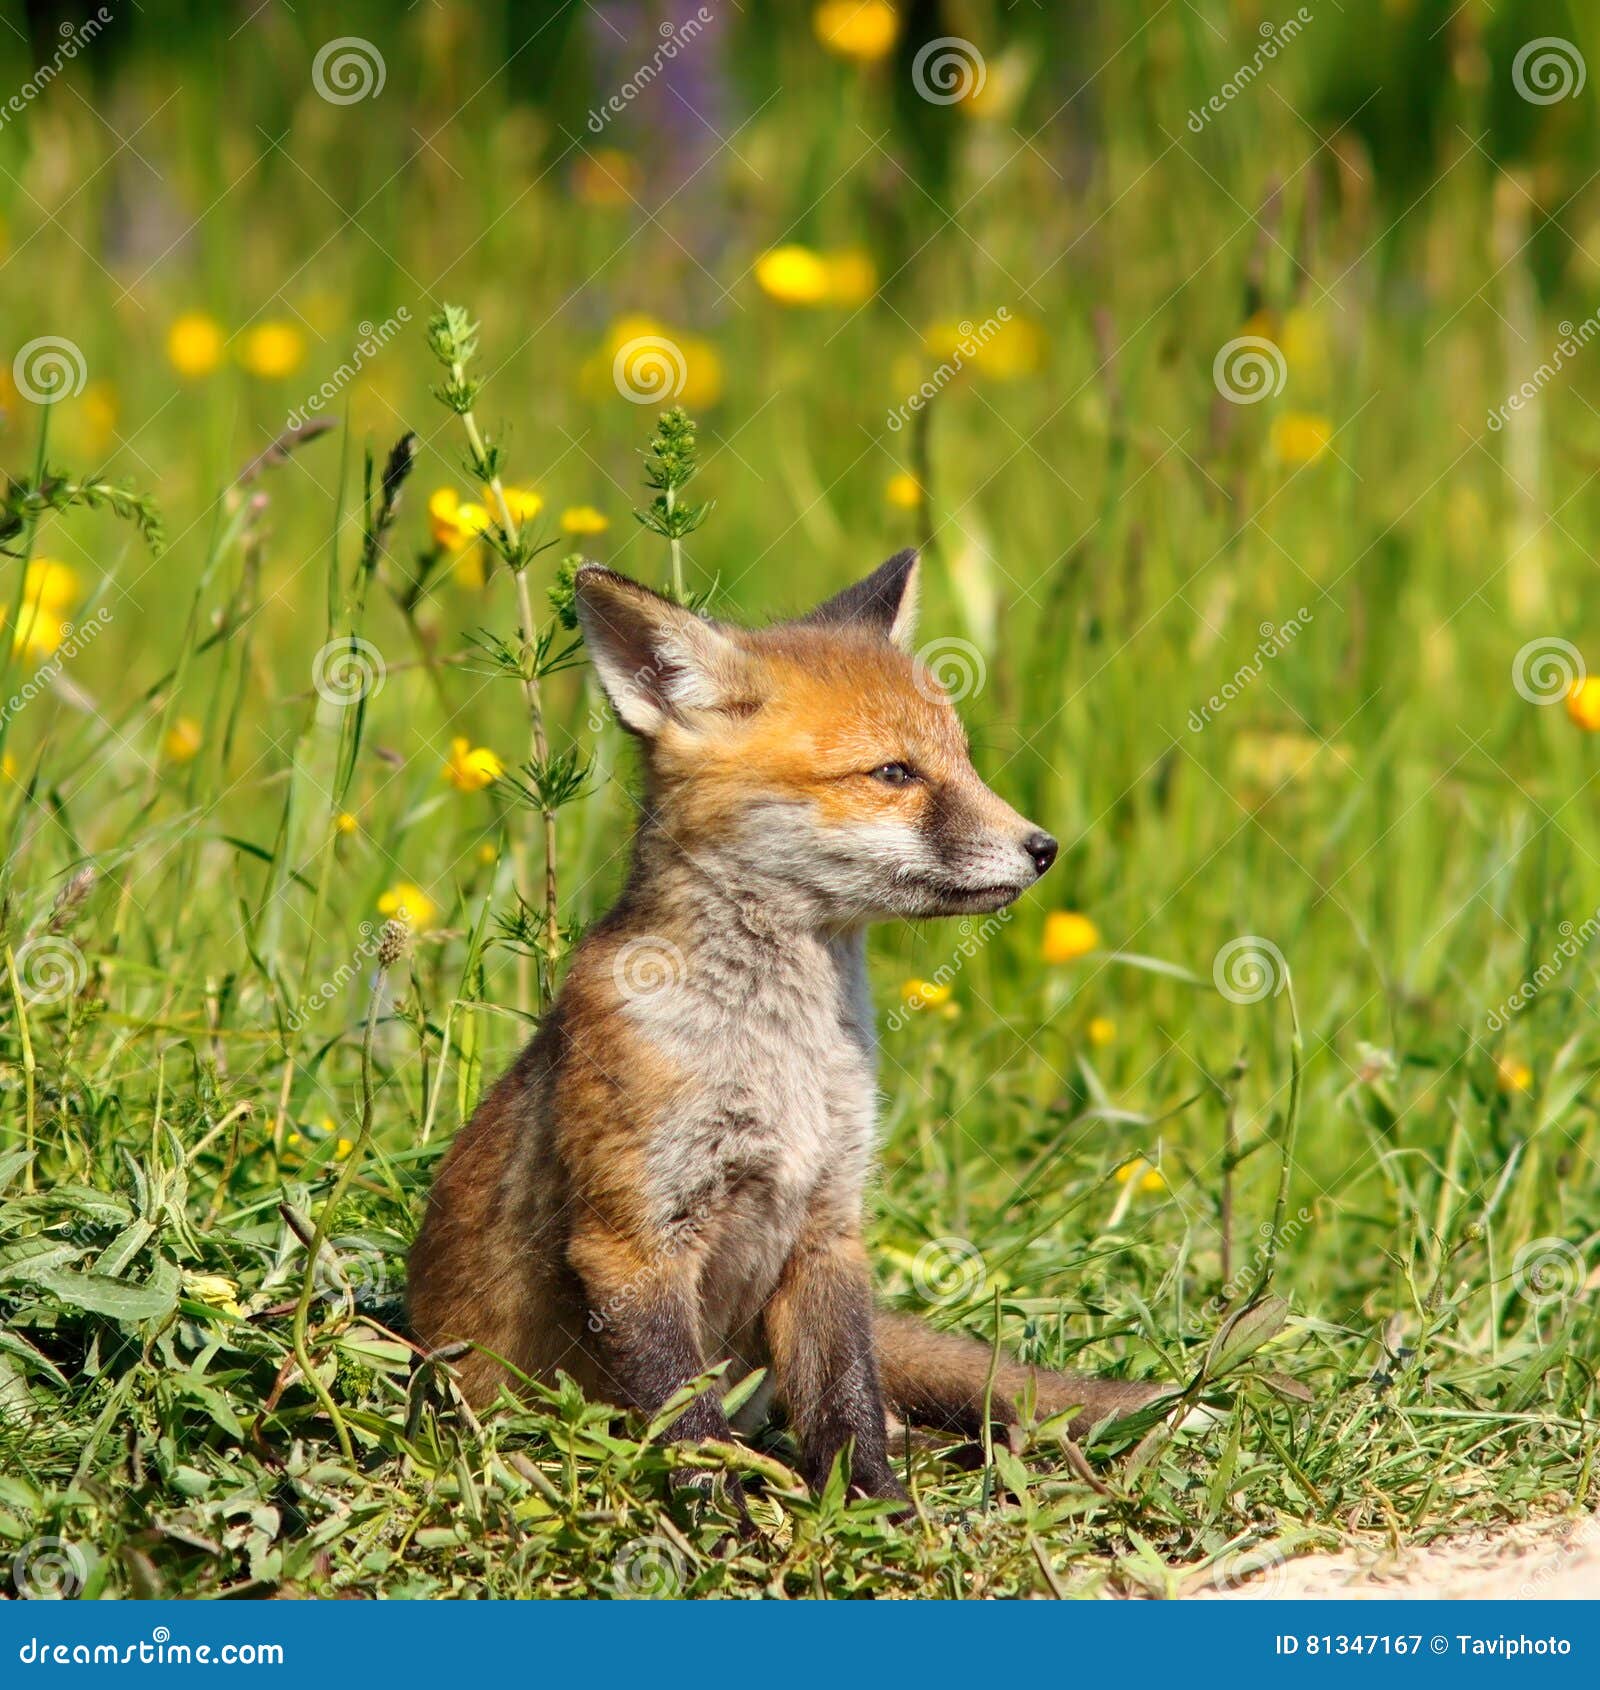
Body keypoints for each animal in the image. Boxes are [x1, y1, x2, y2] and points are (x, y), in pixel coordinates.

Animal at [407, 549, 1178, 1508]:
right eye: (894, 774)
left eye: (961, 761)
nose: (1044, 848)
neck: (784, 1059)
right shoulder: (632, 1238)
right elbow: (686, 1418)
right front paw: (719, 1521)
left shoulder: (828, 1220)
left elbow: (845, 1393)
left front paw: (876, 1509)